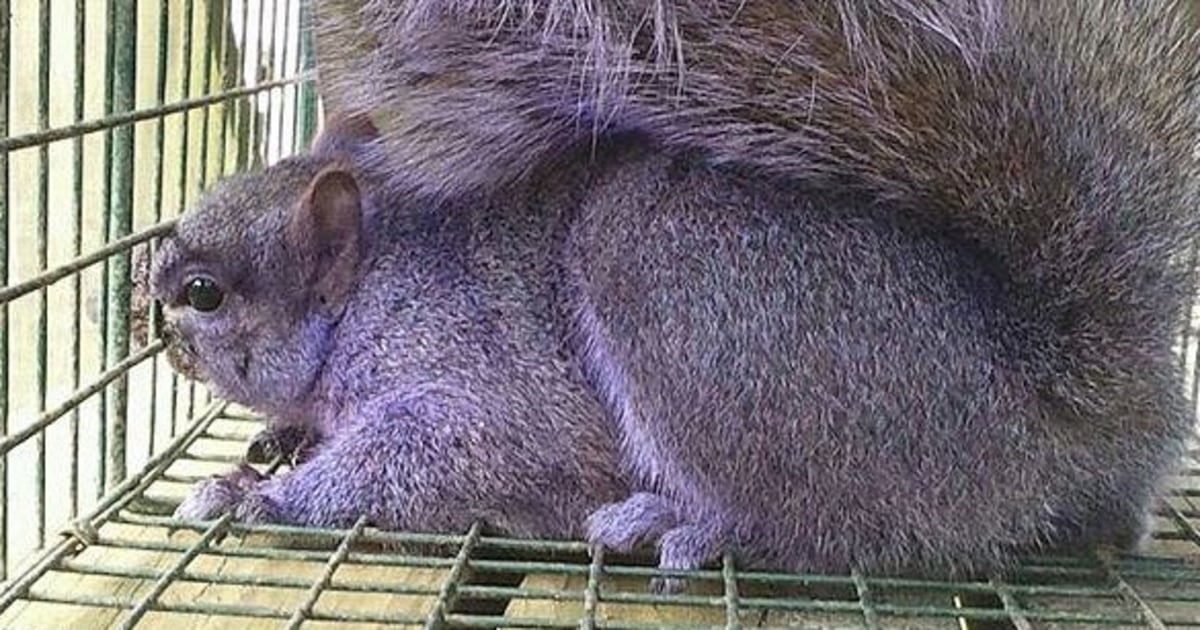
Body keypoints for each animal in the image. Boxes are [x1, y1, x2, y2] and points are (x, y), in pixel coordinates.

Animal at [145, 117, 633, 539]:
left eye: (203, 293)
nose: (160, 333)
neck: (360, 301)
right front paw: (284, 434)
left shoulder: (464, 365)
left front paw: (251, 494)